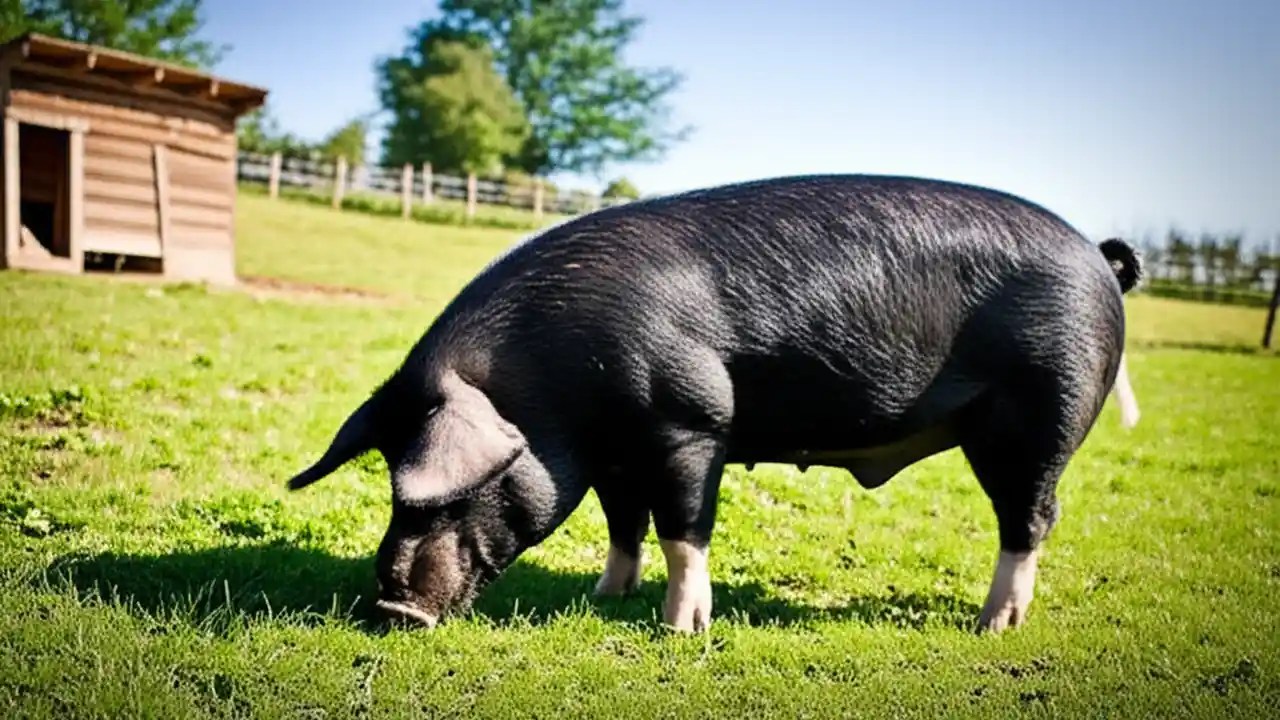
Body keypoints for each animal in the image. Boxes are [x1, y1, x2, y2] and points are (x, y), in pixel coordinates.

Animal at [285, 173, 1143, 634]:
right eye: (392, 483)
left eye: (455, 489)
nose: (393, 610)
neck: (559, 388)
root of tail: (1097, 256)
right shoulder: (610, 456)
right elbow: (623, 524)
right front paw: (606, 594)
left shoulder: (692, 420)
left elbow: (682, 527)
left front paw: (680, 626)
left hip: (1043, 408)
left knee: (1032, 516)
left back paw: (993, 624)